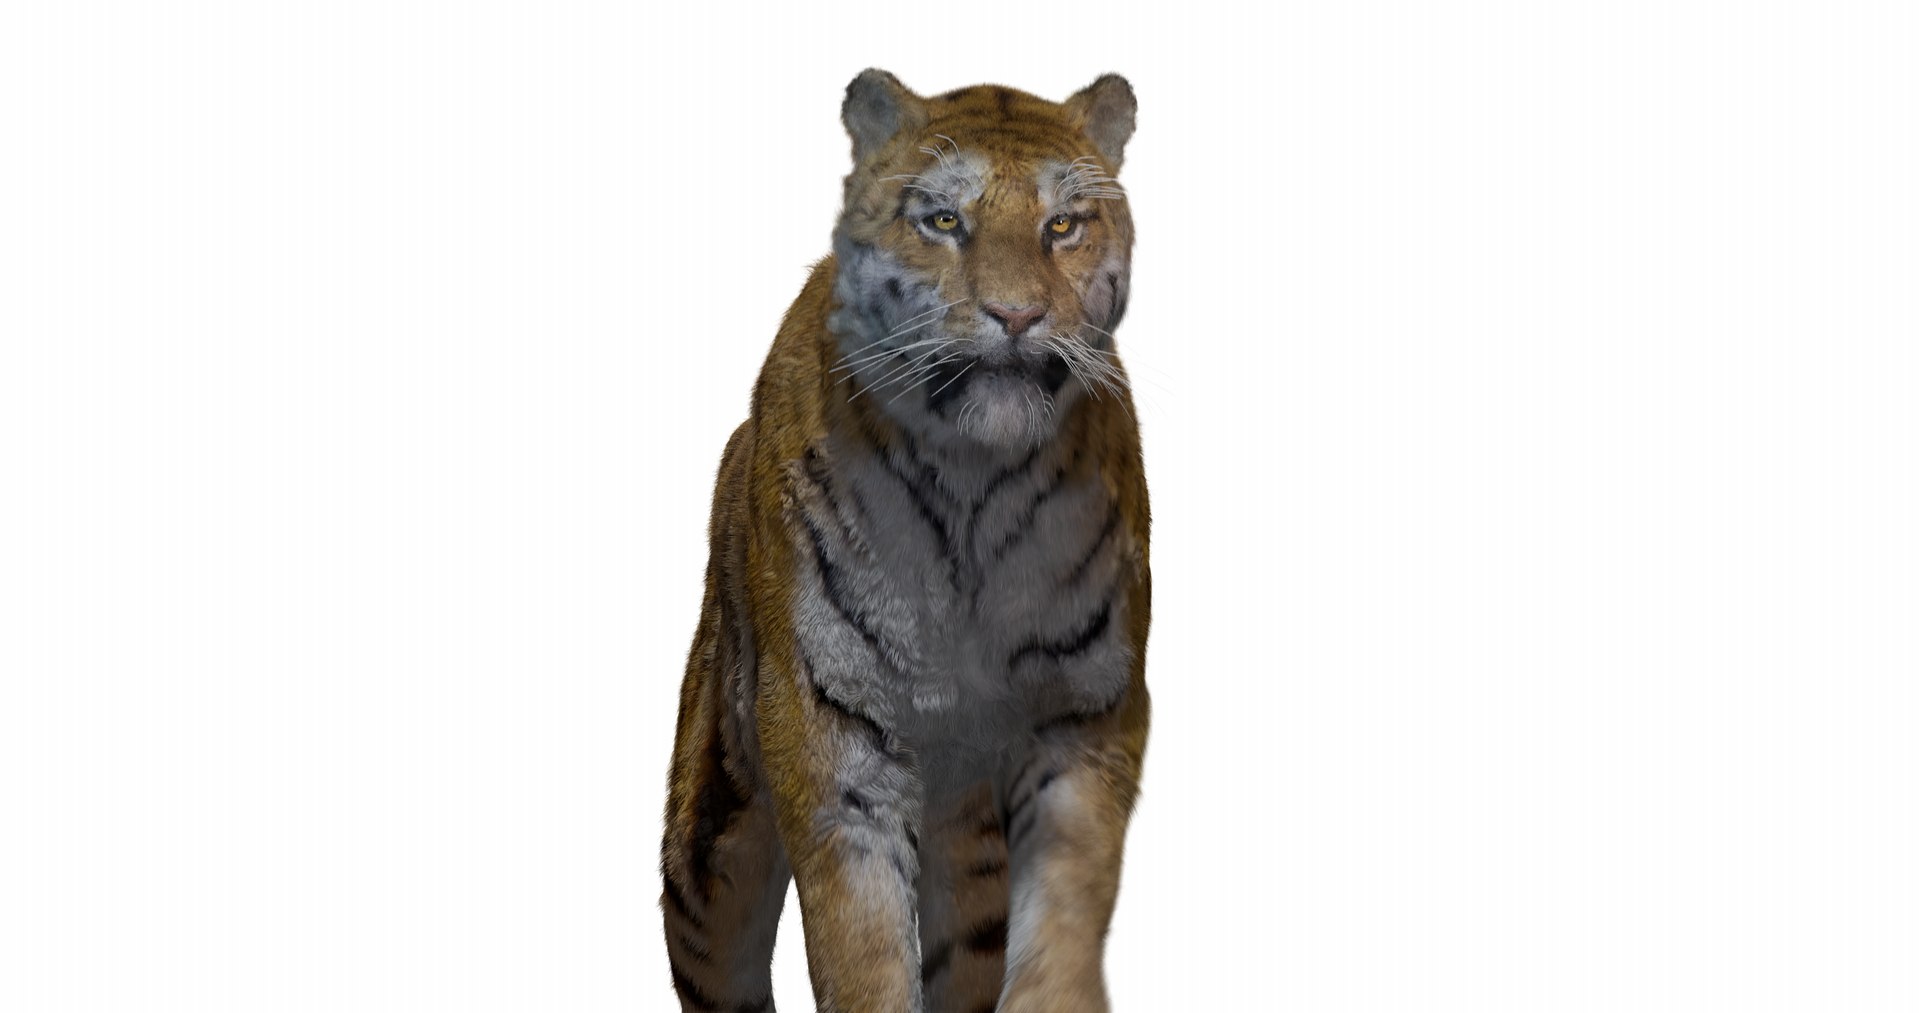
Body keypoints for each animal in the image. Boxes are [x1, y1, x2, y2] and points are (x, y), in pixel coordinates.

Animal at [659, 69, 1150, 1013]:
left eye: (1062, 224)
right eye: (945, 220)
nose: (1017, 314)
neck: (972, 486)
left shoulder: (1085, 716)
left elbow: (1064, 926)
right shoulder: (833, 732)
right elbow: (864, 950)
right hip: (712, 834)